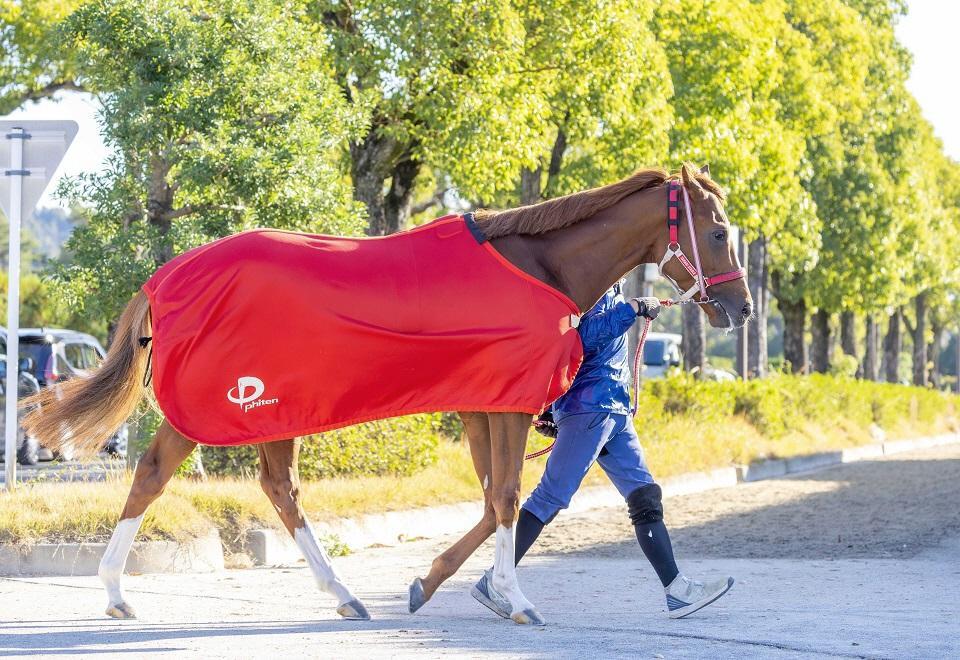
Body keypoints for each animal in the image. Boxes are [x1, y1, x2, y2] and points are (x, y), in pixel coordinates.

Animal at [23, 163, 750, 626]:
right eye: (718, 232)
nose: (741, 308)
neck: (539, 268)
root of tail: (165, 276)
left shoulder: (480, 405)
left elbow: (495, 500)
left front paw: (433, 584)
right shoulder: (508, 406)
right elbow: (511, 500)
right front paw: (512, 599)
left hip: (267, 415)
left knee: (275, 489)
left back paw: (342, 594)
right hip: (223, 408)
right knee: (157, 474)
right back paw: (117, 593)